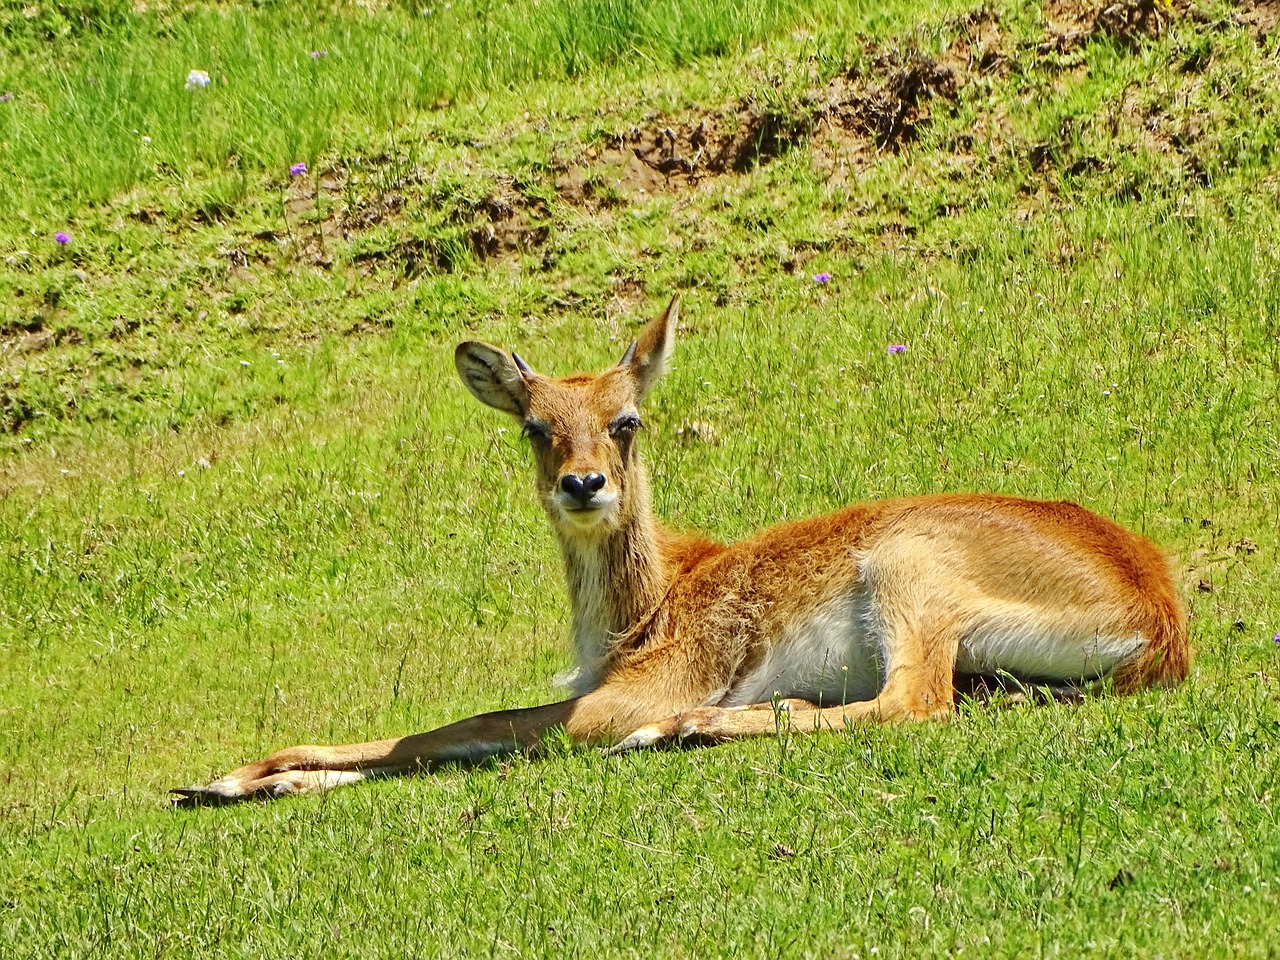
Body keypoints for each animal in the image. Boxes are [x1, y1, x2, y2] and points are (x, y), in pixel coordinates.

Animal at [175, 296, 1189, 804]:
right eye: (535, 426)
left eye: (626, 418)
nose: (584, 484)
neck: (642, 610)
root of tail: (1158, 612)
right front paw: (230, 779)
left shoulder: (621, 693)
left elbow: (475, 725)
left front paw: (231, 777)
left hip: (910, 569)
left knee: (913, 704)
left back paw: (681, 731)